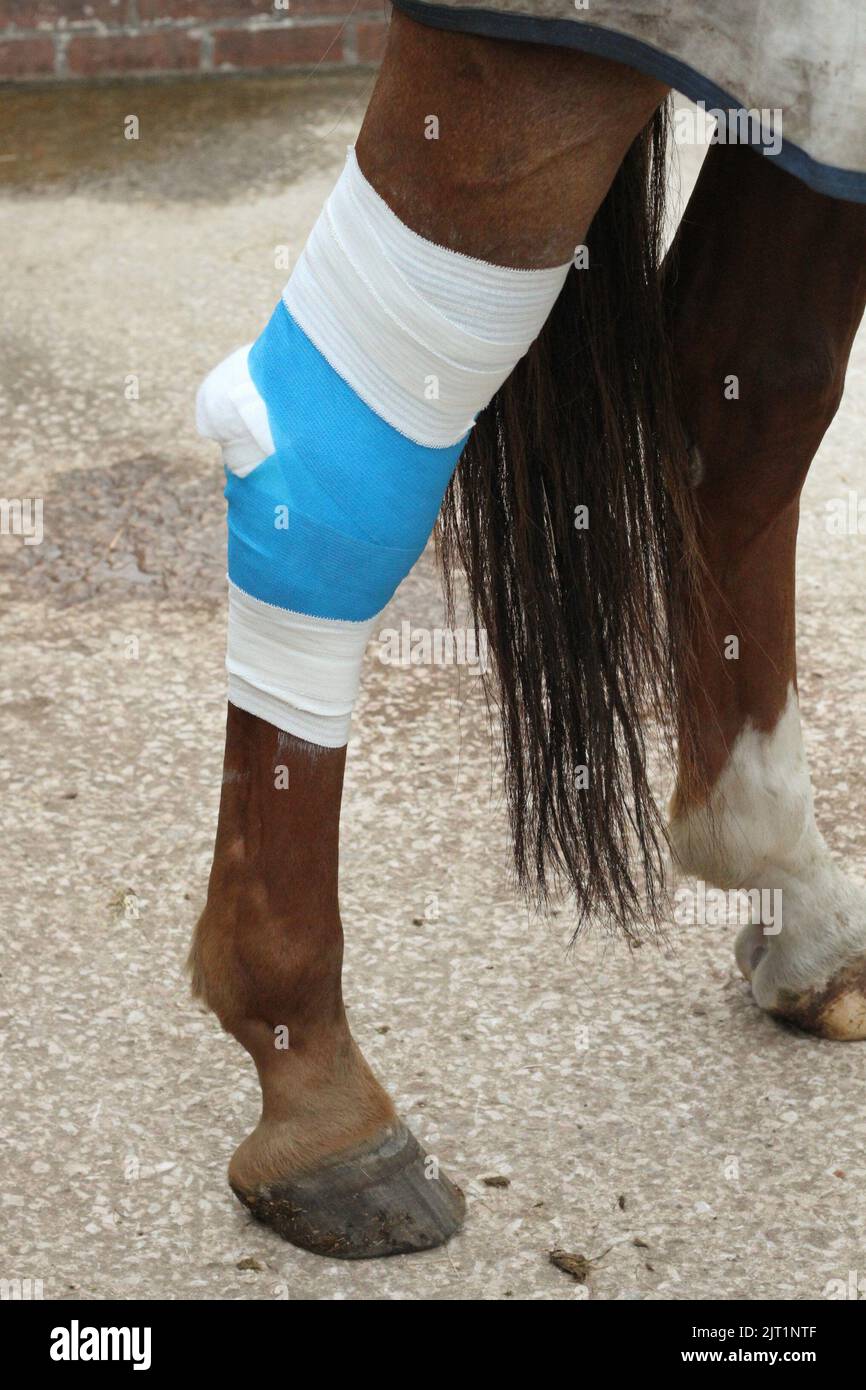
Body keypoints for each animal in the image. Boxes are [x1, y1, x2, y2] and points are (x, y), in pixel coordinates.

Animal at [188, 5, 866, 1258]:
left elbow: (755, 380)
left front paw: (779, 882)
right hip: (565, 56)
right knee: (329, 458)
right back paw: (314, 1080)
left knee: (747, 380)